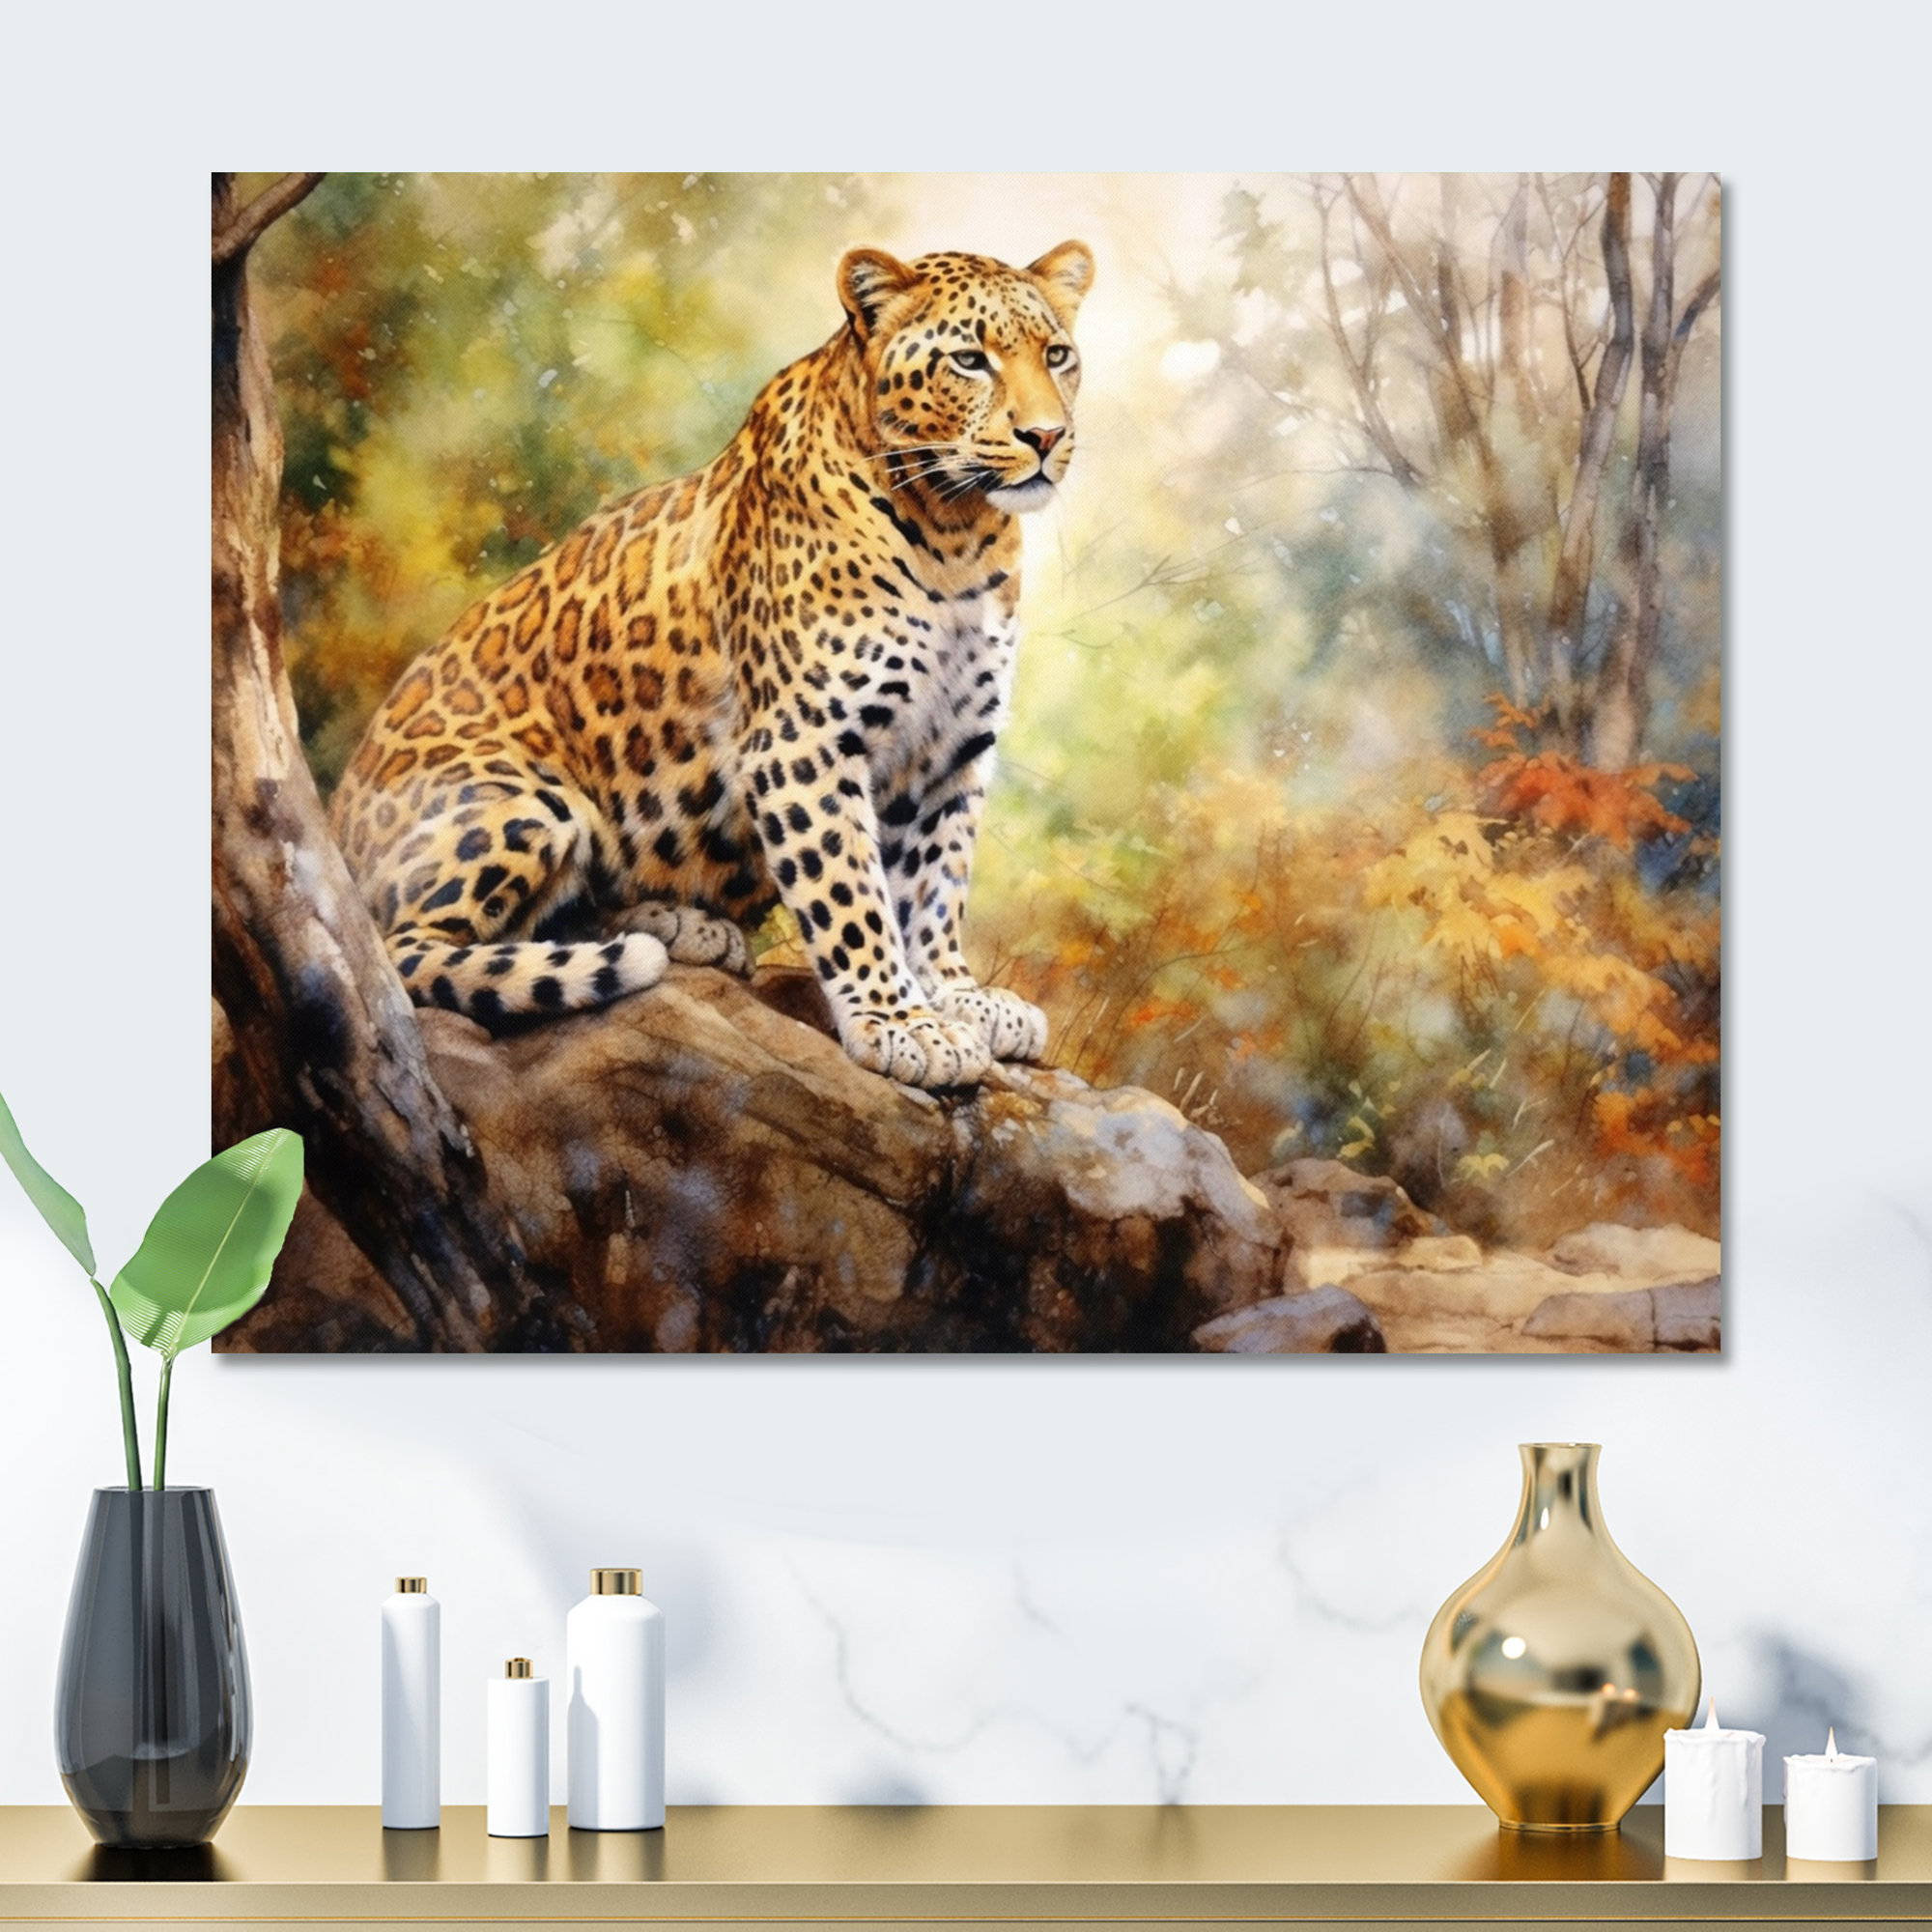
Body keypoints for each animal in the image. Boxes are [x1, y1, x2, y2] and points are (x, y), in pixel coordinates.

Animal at [327, 240, 1094, 1090]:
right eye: (969, 360)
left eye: (1057, 355)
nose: (1045, 436)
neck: (958, 532)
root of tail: (334, 830)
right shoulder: (805, 741)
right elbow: (851, 893)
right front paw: (901, 1024)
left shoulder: (950, 749)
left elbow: (933, 884)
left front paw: (959, 997)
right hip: (526, 806)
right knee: (406, 952)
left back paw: (679, 926)